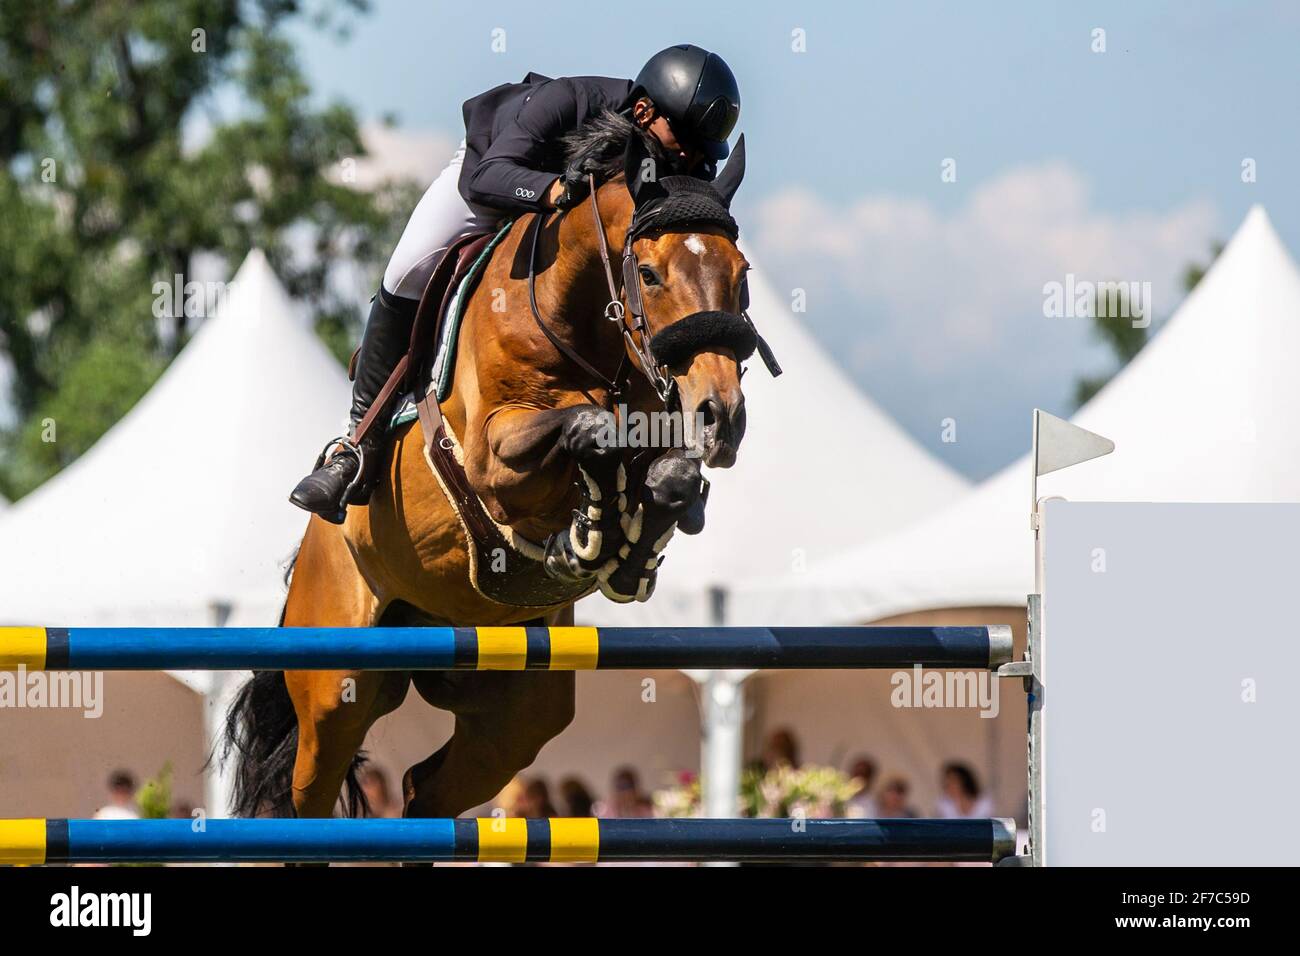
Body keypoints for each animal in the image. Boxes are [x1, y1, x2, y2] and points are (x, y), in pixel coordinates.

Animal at [224, 115, 757, 824]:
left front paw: (625, 548)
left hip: (513, 715)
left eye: (741, 274)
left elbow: (667, 475)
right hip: (336, 689)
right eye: (647, 273)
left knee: (426, 789)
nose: (719, 415)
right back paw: (336, 476)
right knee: (305, 792)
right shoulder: (489, 458)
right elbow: (587, 429)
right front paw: (589, 531)